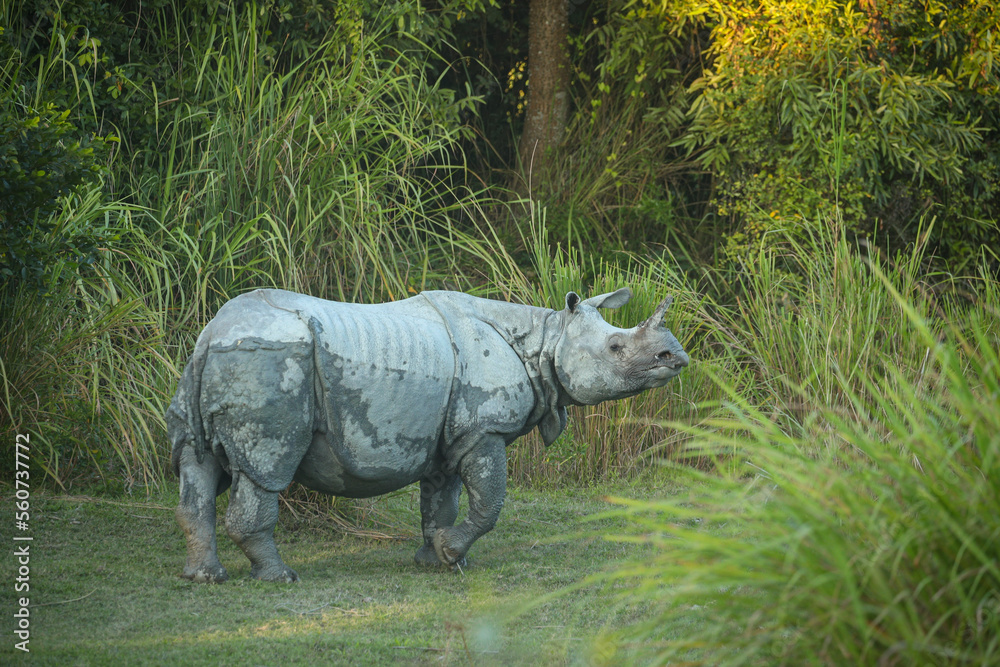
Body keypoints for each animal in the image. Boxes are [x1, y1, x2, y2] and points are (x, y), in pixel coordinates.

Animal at [167, 287, 688, 583]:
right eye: (616, 347)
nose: (675, 357)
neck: (547, 336)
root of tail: (212, 332)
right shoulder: (483, 427)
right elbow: (490, 502)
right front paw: (451, 553)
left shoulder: (450, 434)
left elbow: (441, 501)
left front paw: (435, 560)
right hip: (268, 359)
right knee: (266, 469)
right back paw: (280, 578)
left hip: (213, 362)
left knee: (197, 465)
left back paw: (204, 577)